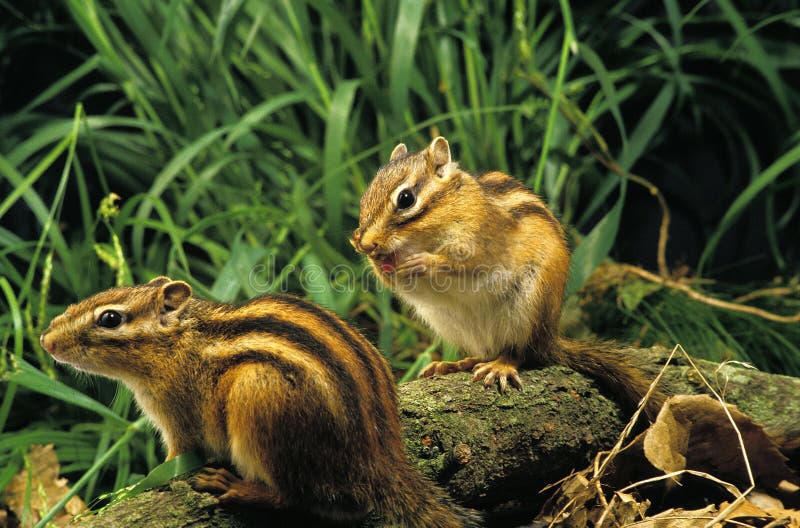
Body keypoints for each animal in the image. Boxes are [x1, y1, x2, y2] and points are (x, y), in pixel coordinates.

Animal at [40, 277, 482, 527]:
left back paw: (234, 487)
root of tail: (379, 461)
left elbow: (175, 458)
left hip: (257, 399)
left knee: (298, 496)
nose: (46, 340)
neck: (180, 342)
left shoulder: (177, 417)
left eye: (110, 318)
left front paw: (137, 487)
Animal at [353, 136, 664, 418]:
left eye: (406, 199)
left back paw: (500, 365)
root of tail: (549, 338)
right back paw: (452, 364)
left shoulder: (481, 241)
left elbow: (466, 263)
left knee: (520, 352)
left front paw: (425, 262)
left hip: (528, 307)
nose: (366, 244)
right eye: (365, 197)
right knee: (486, 351)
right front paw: (377, 264)